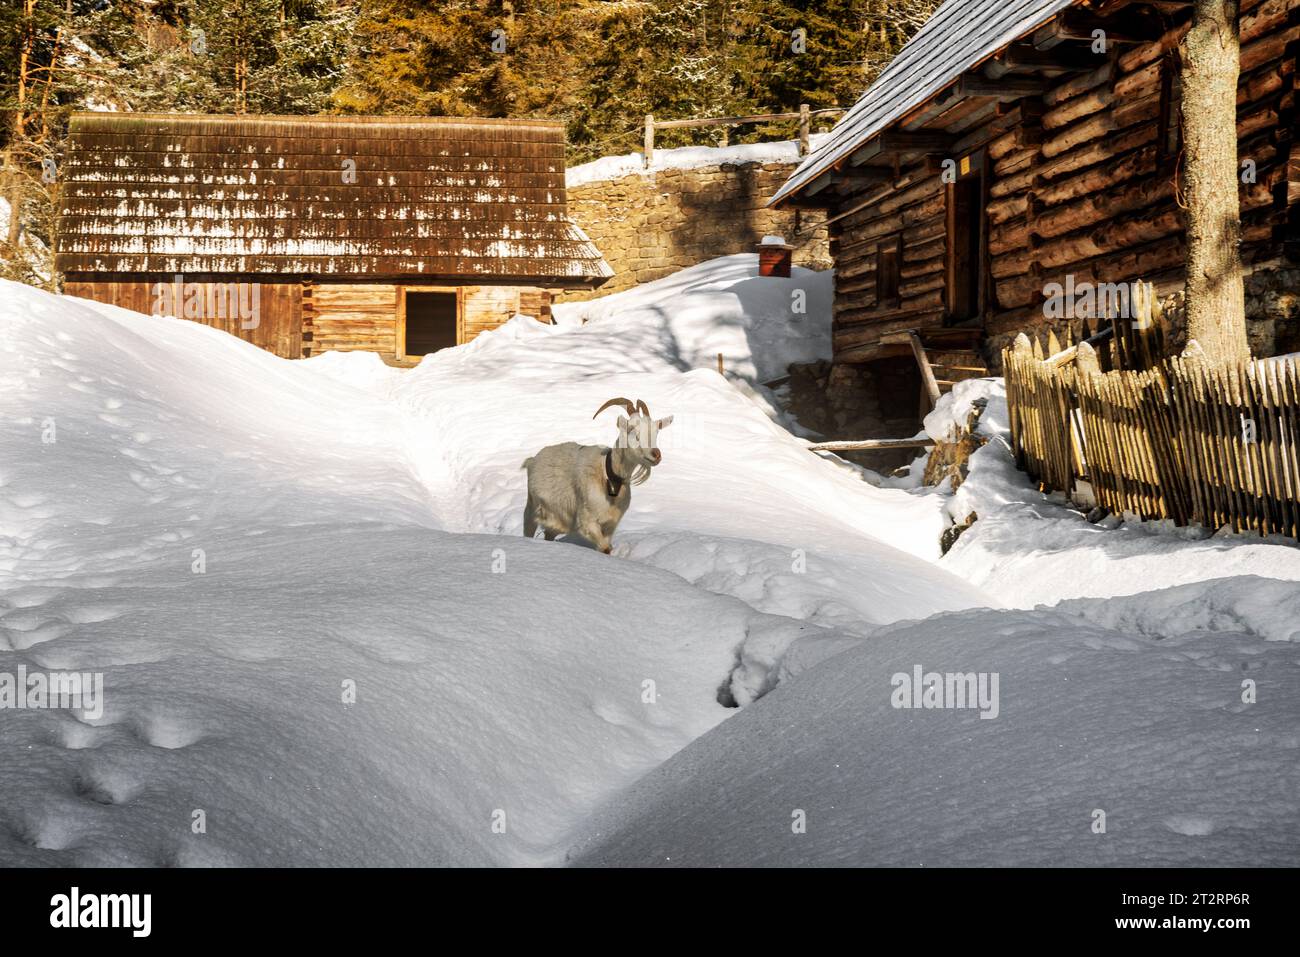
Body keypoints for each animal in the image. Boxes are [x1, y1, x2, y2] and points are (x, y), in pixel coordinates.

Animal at [521, 397, 673, 553]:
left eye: (656, 432)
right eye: (632, 430)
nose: (656, 454)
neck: (607, 475)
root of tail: (532, 460)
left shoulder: (610, 525)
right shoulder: (587, 521)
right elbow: (604, 548)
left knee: (549, 533)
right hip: (531, 507)